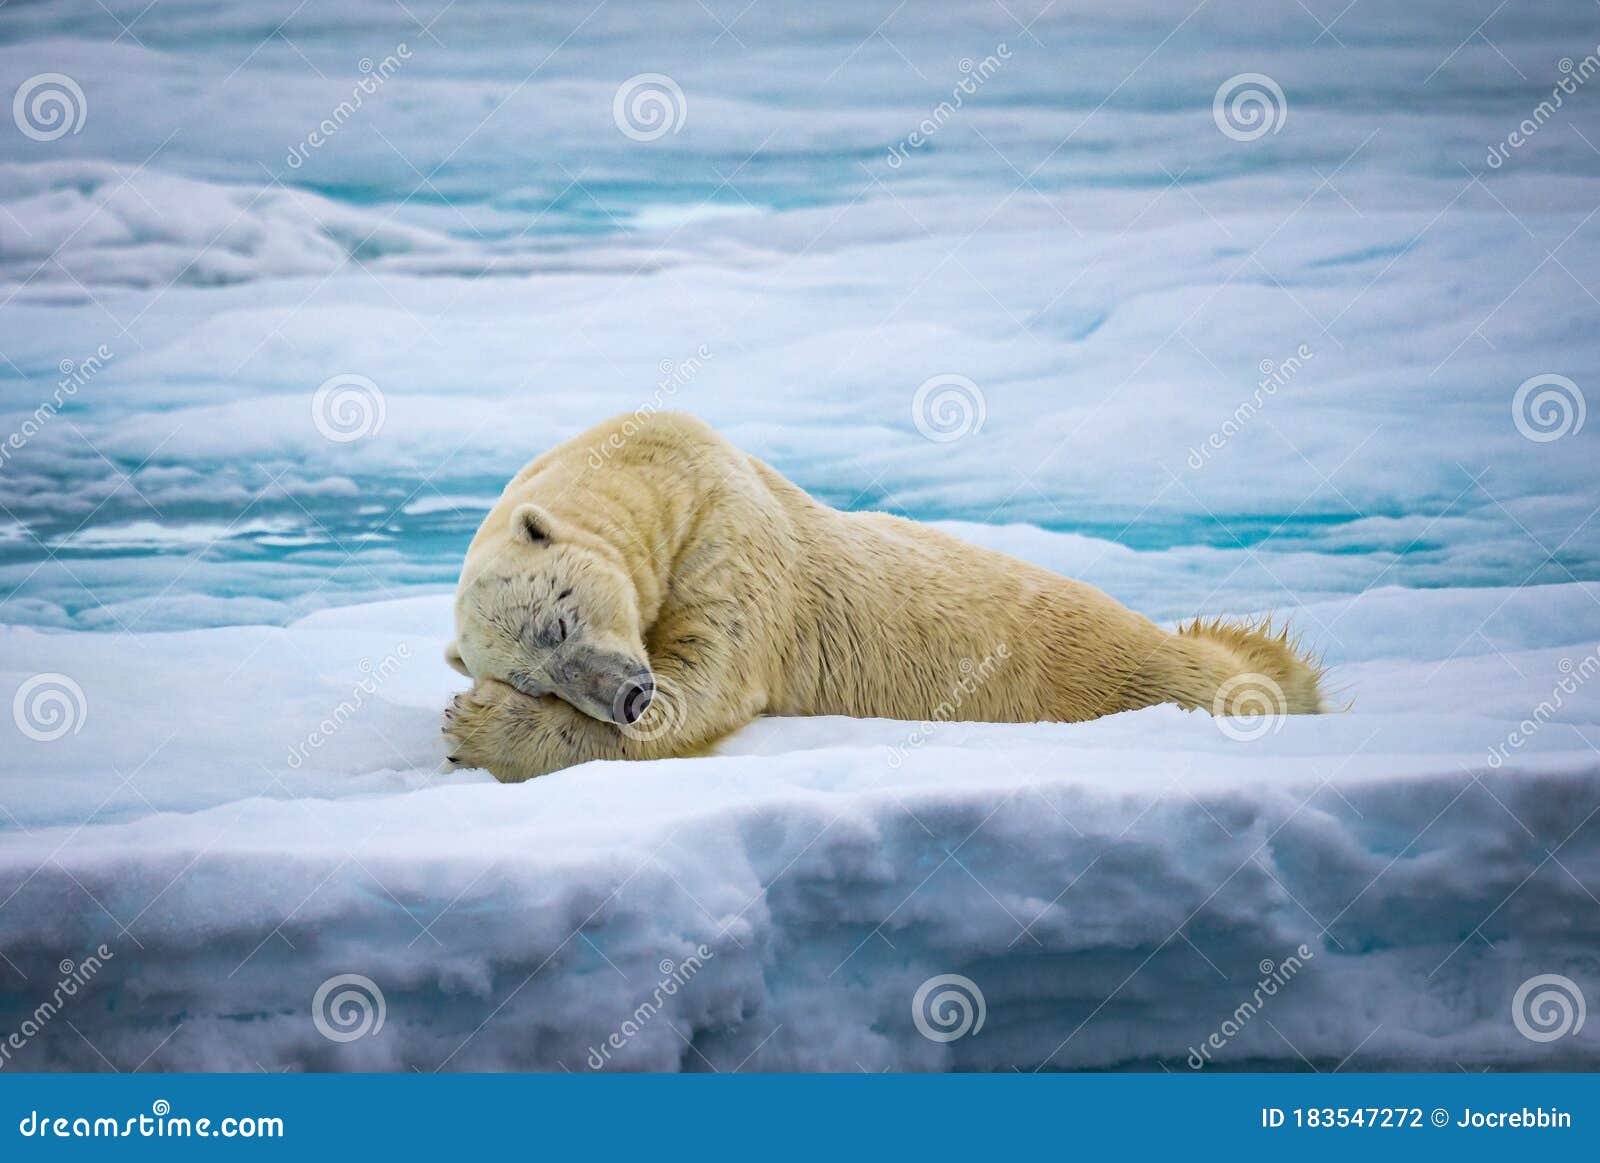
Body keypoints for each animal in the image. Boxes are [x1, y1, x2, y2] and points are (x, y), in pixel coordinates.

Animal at [441, 411, 1325, 782]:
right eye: (534, 674)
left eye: (563, 620)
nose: (626, 694)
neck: (647, 466)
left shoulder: (726, 530)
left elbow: (706, 680)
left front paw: (474, 728)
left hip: (1114, 668)